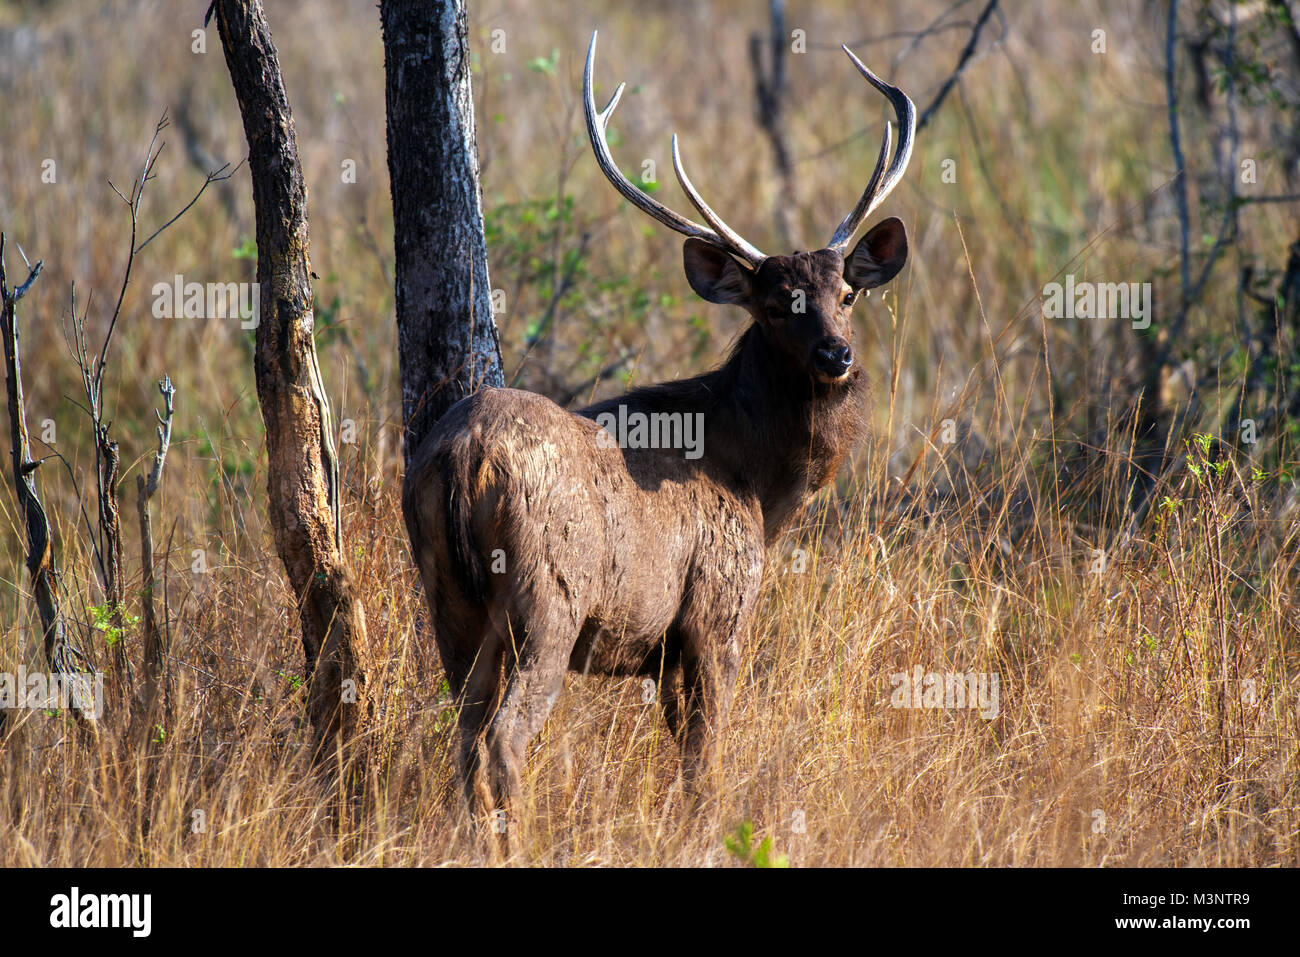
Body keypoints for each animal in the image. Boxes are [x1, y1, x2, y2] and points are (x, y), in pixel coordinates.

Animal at [402, 30, 914, 840]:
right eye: (775, 303)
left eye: (847, 292)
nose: (837, 354)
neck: (760, 489)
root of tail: (461, 458)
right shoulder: (716, 605)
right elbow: (706, 753)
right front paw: (713, 831)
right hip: (546, 594)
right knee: (503, 735)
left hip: (446, 597)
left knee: (463, 728)